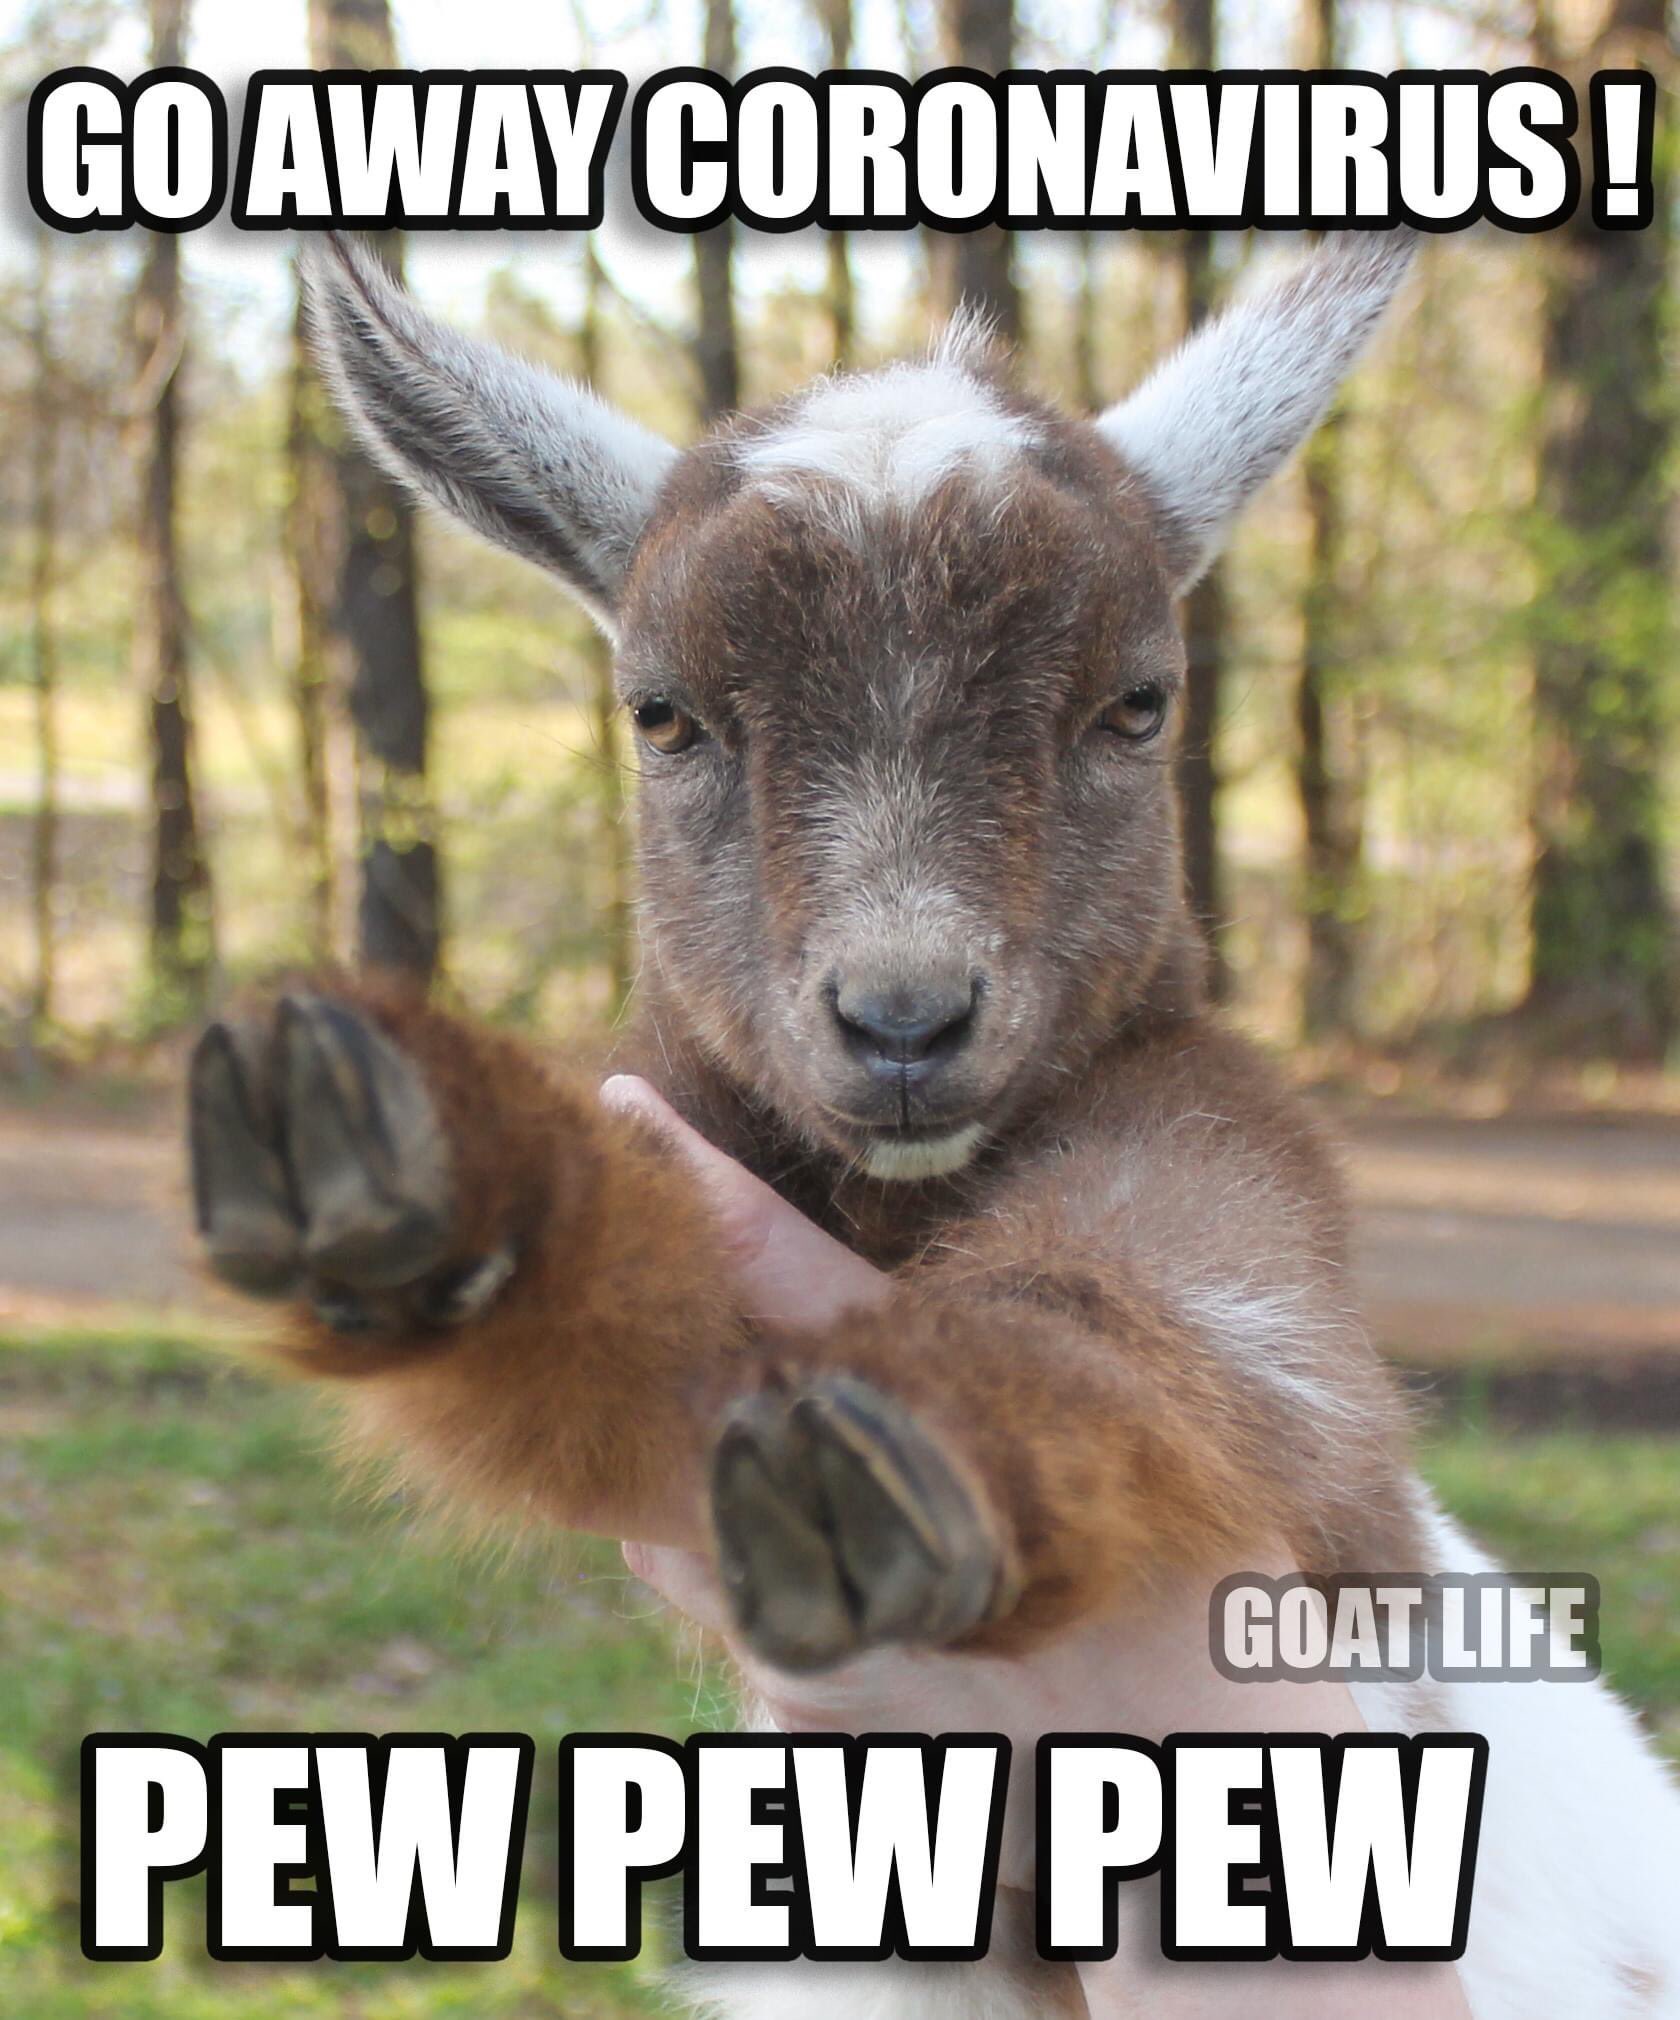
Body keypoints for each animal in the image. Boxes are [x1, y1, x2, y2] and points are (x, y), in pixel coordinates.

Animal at [189, 230, 1680, 2019]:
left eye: (1138, 702)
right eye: (662, 716)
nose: (904, 1021)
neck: (897, 1209)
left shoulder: (1253, 1243)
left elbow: (1173, 1325)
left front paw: (905, 1460)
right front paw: (419, 1186)